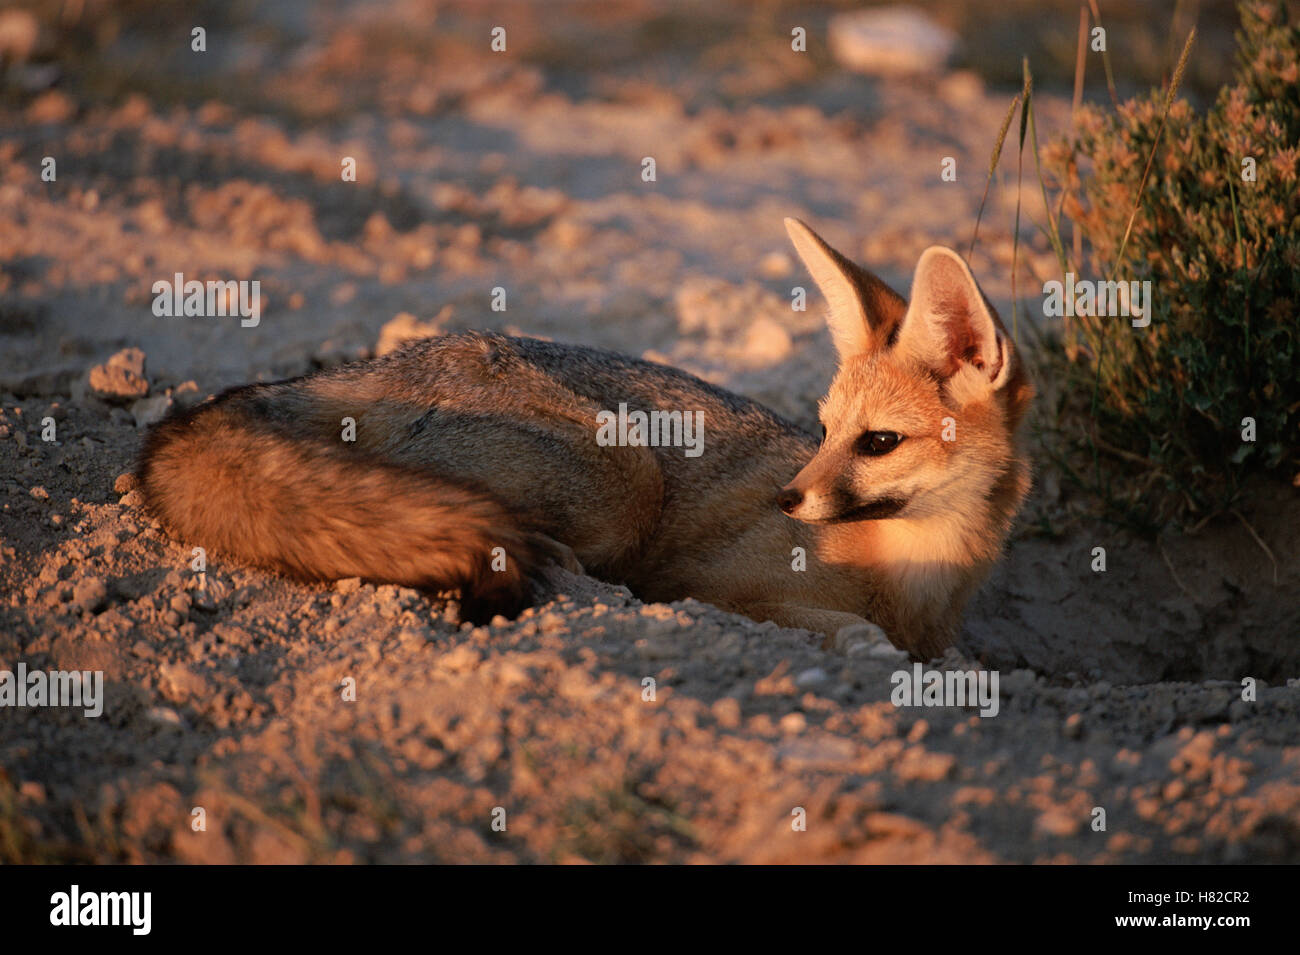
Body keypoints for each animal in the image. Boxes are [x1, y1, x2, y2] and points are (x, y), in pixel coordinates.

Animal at [138, 219, 1033, 658]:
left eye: (876, 441)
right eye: (823, 430)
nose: (788, 498)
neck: (916, 575)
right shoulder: (705, 587)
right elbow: (838, 625)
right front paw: (868, 642)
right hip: (625, 477)